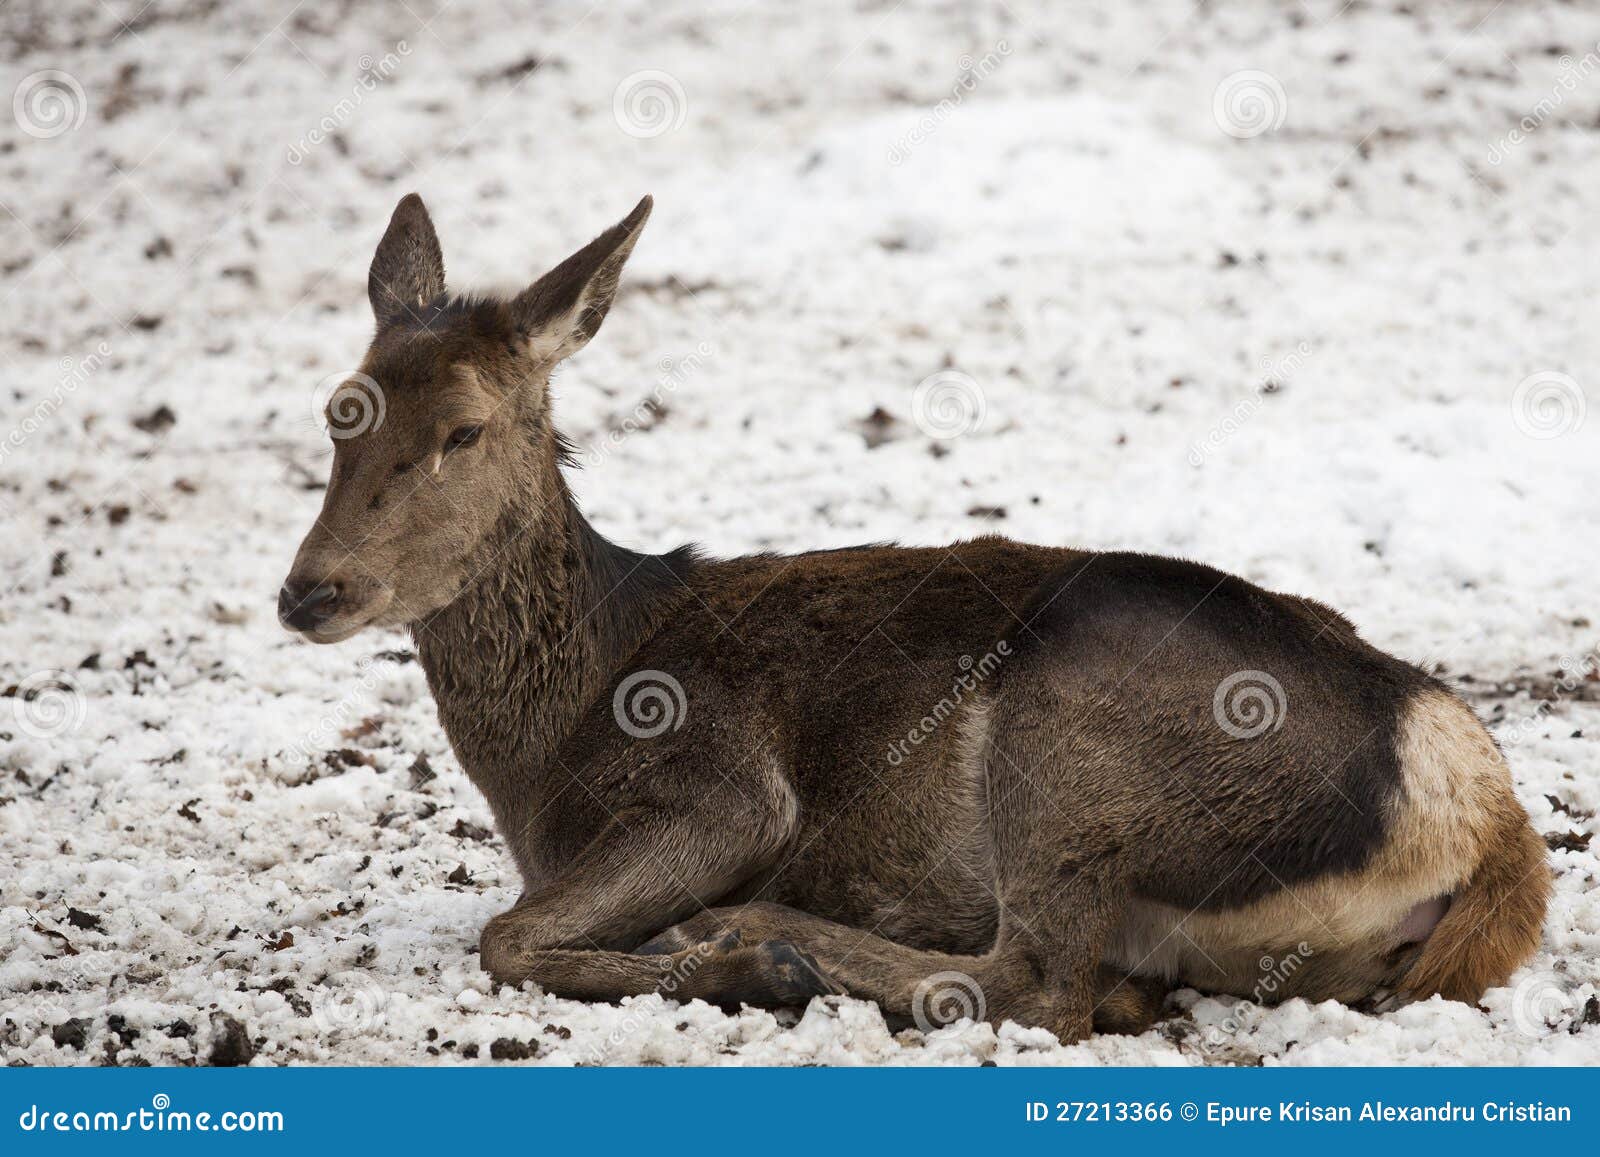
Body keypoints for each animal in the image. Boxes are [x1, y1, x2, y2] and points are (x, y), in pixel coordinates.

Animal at [278, 192, 1550, 1043]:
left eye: (464, 430)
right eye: (340, 409)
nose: (310, 589)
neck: (542, 753)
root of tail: (1484, 824)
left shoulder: (721, 781)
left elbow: (504, 935)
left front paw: (744, 955)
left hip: (1072, 731)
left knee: (1033, 979)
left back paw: (763, 933)